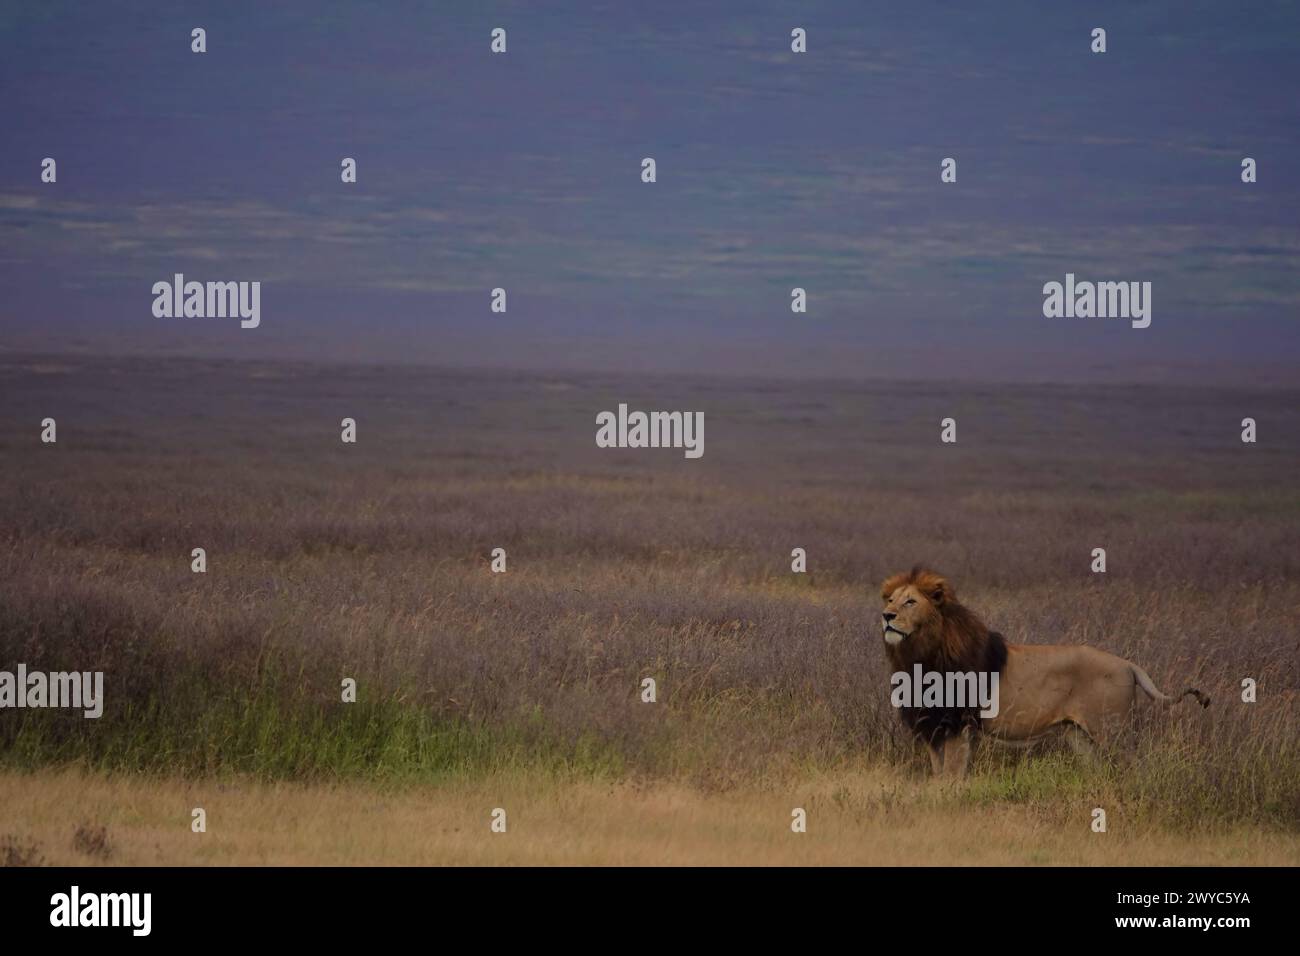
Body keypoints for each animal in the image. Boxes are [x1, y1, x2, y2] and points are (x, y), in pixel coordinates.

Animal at [879, 566, 1209, 778]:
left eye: (911, 601)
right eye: (891, 600)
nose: (886, 615)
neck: (918, 654)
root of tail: (1127, 663)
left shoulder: (958, 725)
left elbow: (950, 776)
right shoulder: (934, 726)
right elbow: (940, 774)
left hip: (1114, 730)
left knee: (1137, 766)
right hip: (1079, 736)